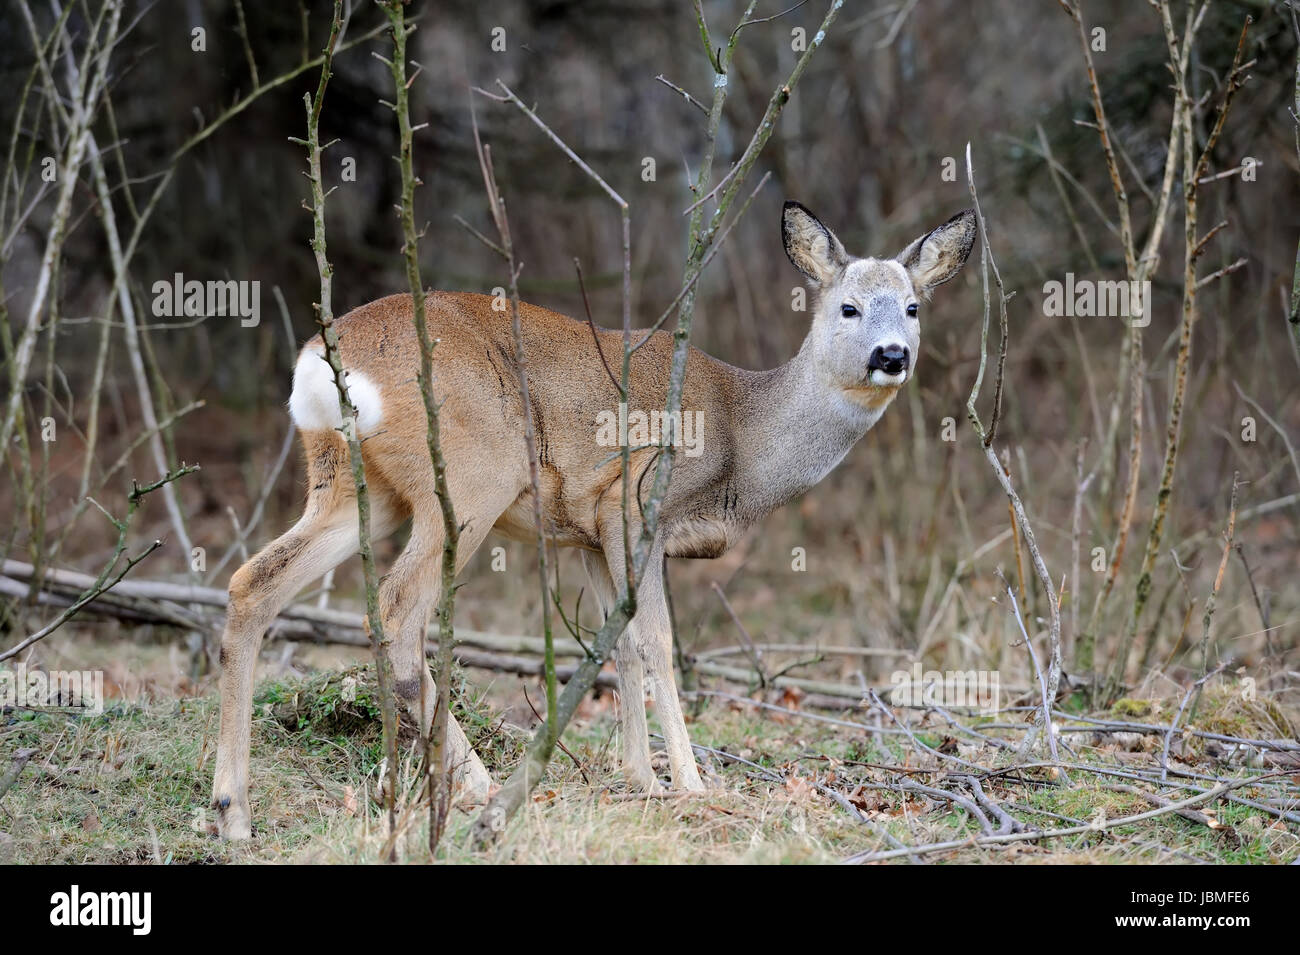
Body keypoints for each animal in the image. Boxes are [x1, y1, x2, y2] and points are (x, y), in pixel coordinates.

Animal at [211, 200, 975, 839]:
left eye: (912, 306)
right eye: (847, 307)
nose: (891, 356)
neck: (744, 435)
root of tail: (323, 358)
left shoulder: (582, 529)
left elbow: (620, 645)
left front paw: (639, 778)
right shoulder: (632, 503)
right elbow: (659, 642)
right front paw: (691, 784)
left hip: (353, 488)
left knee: (254, 582)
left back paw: (232, 811)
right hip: (470, 478)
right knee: (399, 605)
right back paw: (475, 788)